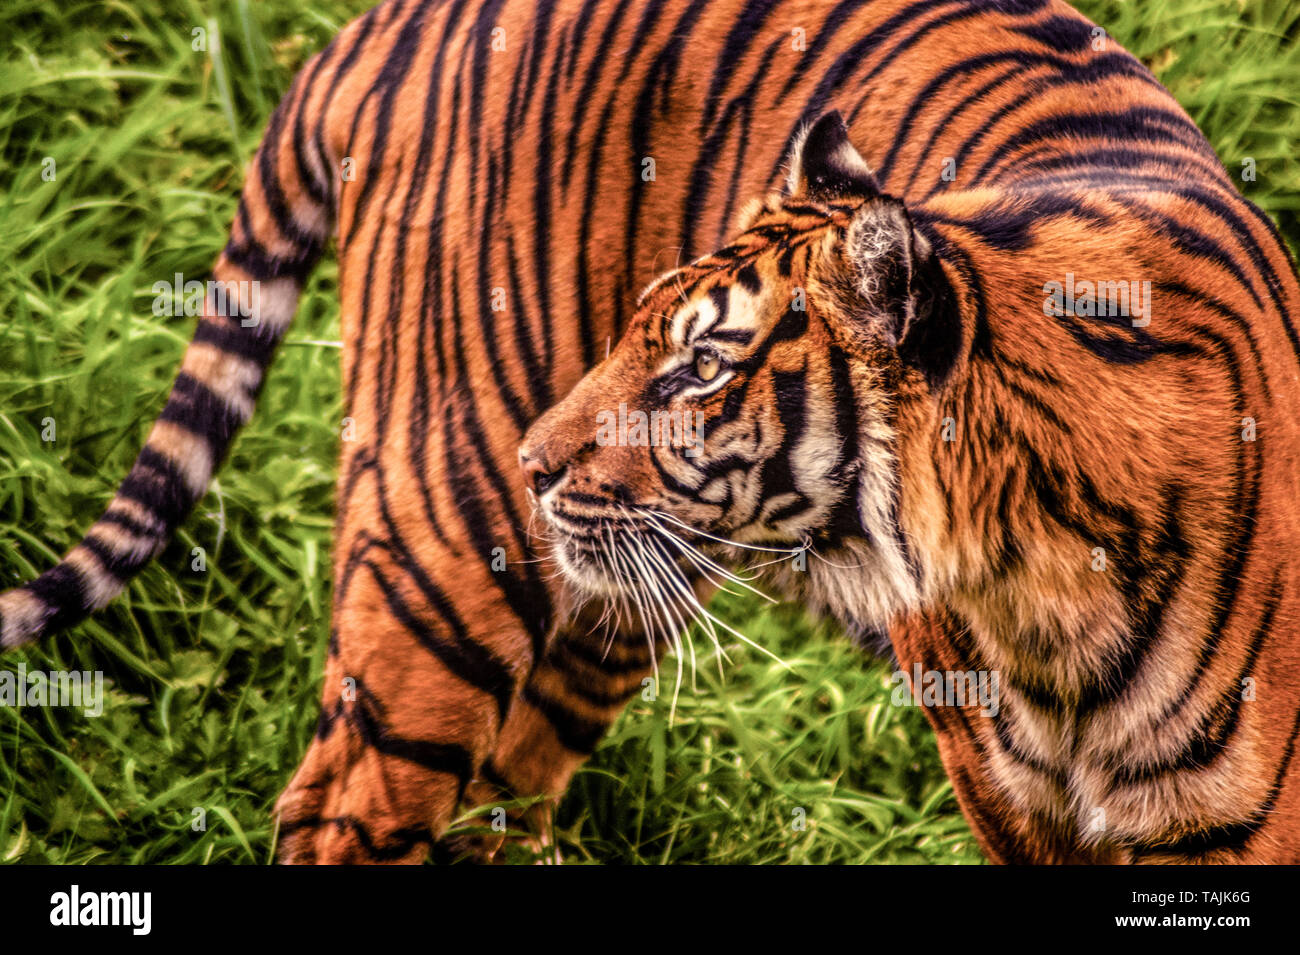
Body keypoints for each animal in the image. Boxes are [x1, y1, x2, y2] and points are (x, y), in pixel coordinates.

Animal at [2, 0, 1298, 864]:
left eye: (699, 367)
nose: (534, 462)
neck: (1049, 603)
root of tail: (388, 22)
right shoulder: (1006, 796)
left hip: (606, 600)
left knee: (500, 797)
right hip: (444, 550)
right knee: (344, 807)